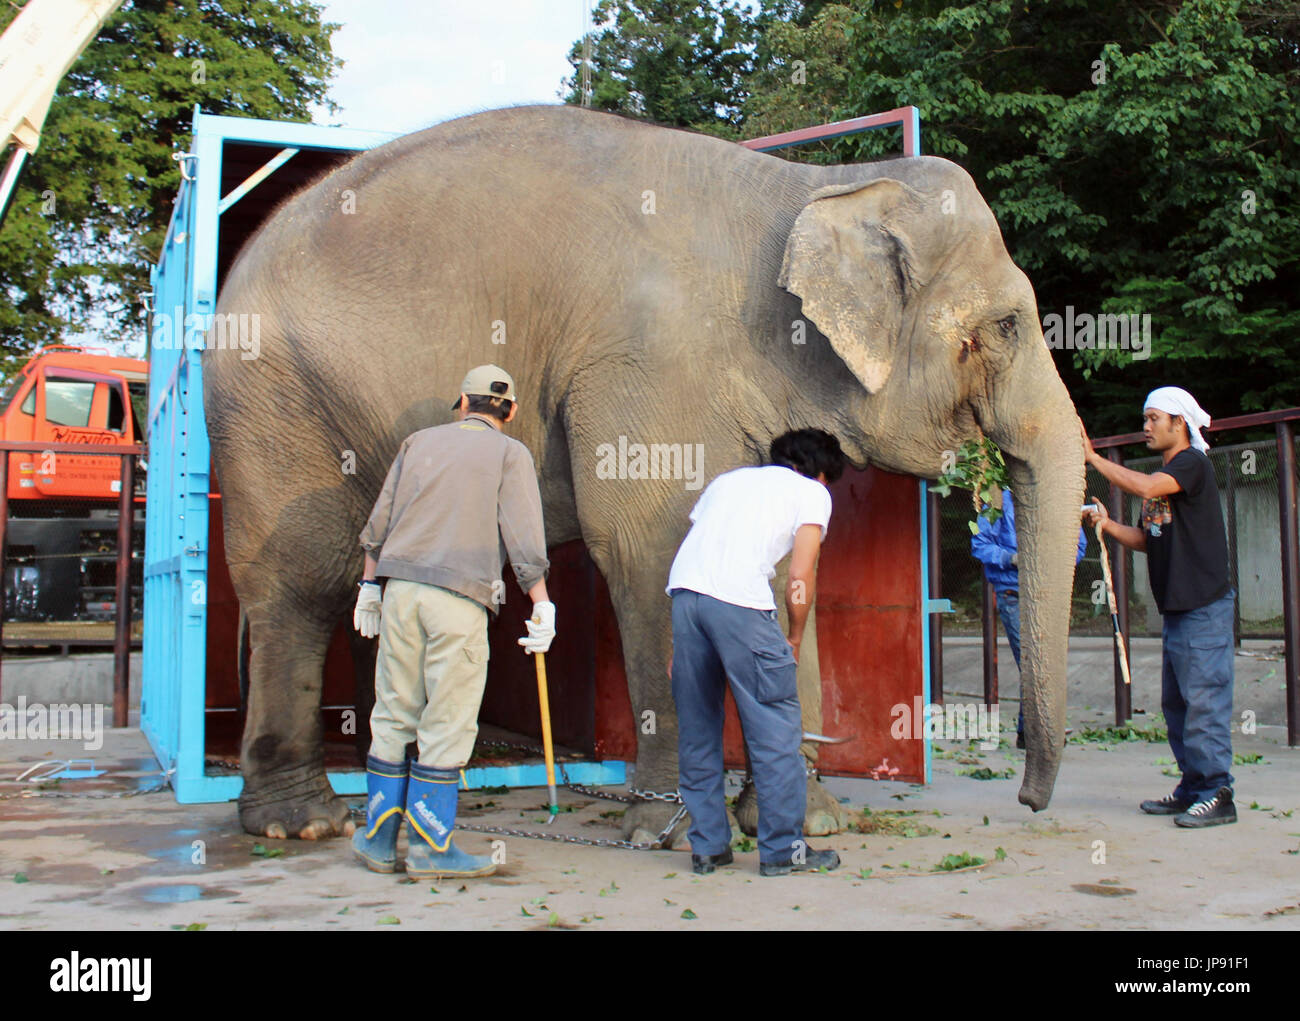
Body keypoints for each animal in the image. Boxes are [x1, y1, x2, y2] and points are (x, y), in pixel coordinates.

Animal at [203, 104, 1085, 843]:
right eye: (1007, 327)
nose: (1029, 798)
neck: (815, 185)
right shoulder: (646, 366)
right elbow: (649, 545)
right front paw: (670, 826)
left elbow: (773, 574)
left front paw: (809, 820)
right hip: (273, 409)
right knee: (299, 582)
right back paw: (302, 822)